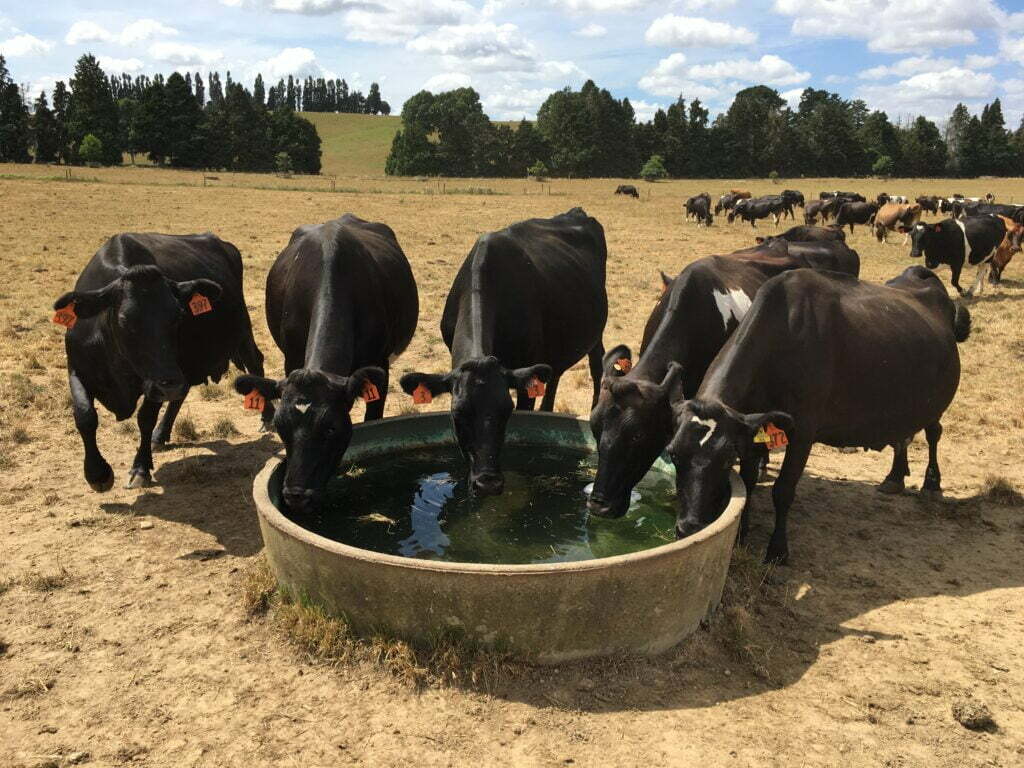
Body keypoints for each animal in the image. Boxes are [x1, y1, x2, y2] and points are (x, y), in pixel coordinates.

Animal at [53, 233, 267, 491]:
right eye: (125, 320)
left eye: (178, 316)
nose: (169, 384)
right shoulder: (77, 369)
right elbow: (84, 415)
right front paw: (97, 474)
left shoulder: (158, 381)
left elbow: (145, 418)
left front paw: (140, 467)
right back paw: (161, 435)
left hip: (240, 333)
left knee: (255, 362)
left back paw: (267, 418)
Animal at [232, 215, 419, 513]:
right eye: (281, 427)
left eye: (330, 428)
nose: (296, 495)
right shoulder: (291, 359)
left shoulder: (380, 366)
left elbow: (373, 419)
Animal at [400, 208, 607, 495]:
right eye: (458, 414)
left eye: (506, 411)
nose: (488, 483)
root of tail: (577, 212)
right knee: (554, 375)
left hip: (596, 331)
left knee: (597, 365)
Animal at [666, 265, 970, 564]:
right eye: (673, 454)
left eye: (727, 460)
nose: (689, 527)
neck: (781, 344)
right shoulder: (750, 427)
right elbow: (749, 481)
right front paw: (741, 533)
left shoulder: (802, 431)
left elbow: (783, 490)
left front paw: (778, 549)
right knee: (902, 436)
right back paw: (895, 476)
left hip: (935, 401)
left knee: (933, 432)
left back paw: (932, 482)